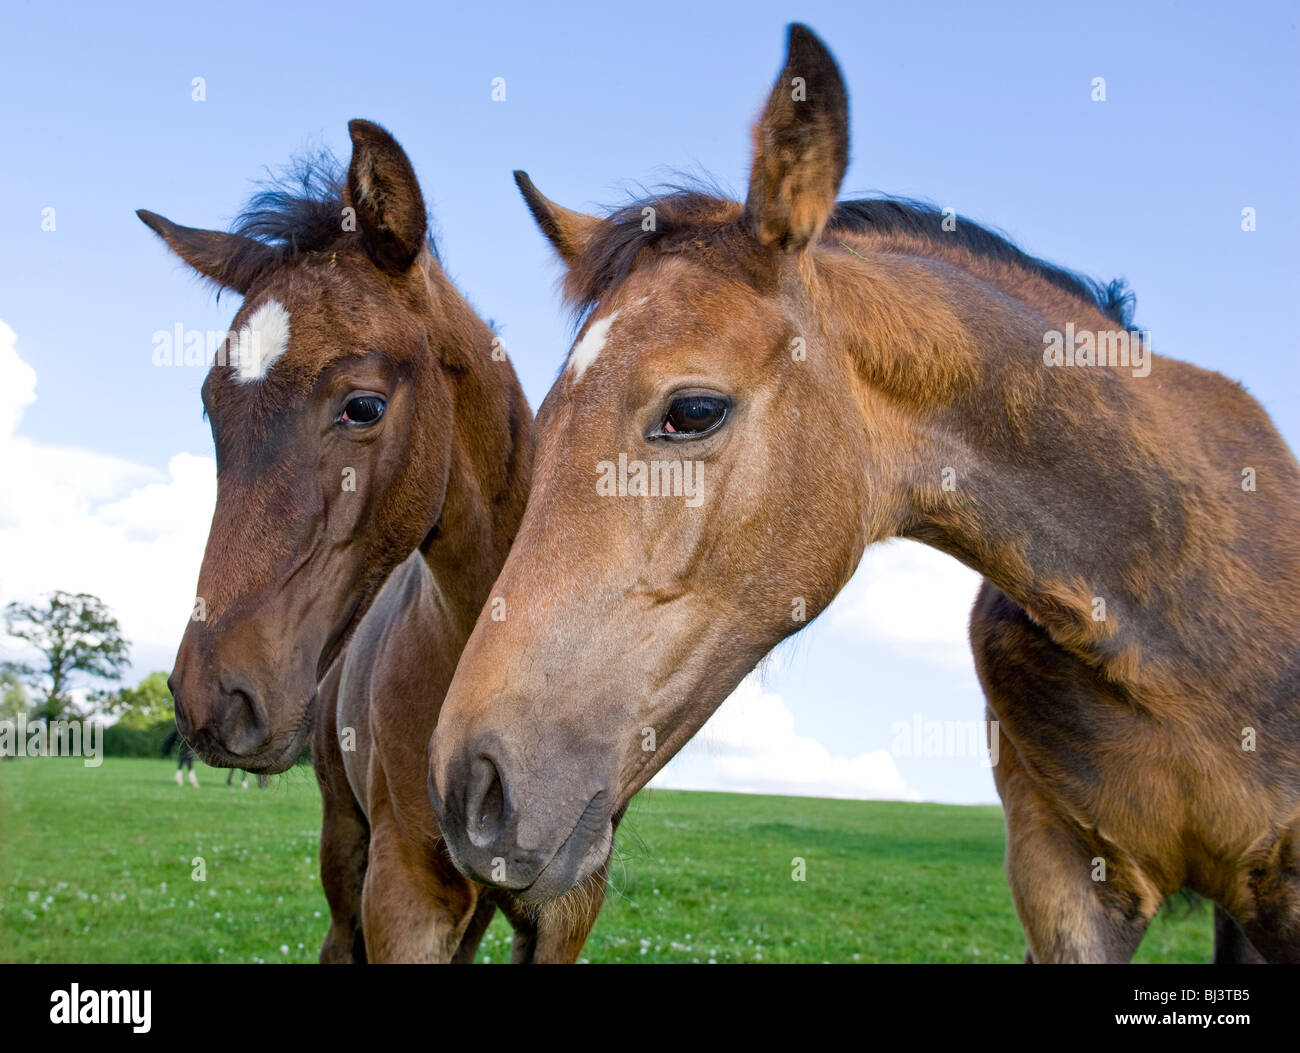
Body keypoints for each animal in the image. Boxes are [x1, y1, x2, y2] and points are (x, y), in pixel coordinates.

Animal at [142, 120, 604, 962]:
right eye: (210, 406)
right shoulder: (402, 894)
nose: (210, 700)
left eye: (362, 405)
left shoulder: (564, 910)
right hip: (343, 842)